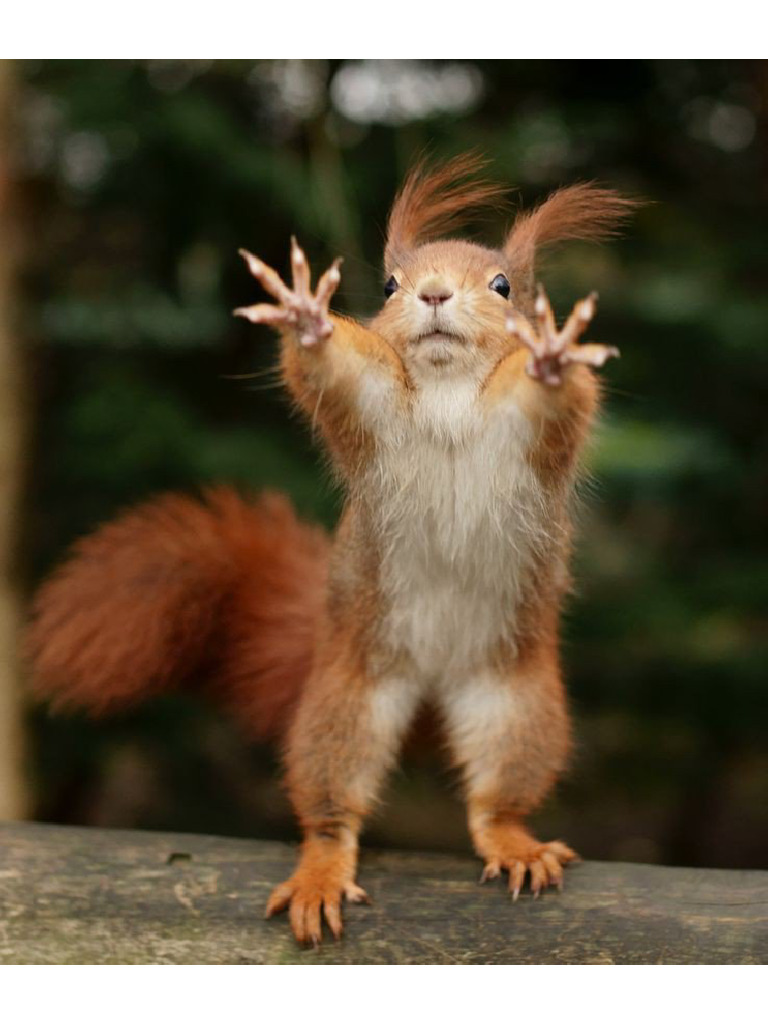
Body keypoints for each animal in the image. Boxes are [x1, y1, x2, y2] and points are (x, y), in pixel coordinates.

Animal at [26, 153, 638, 946]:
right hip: (346, 701)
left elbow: (559, 400)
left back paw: (514, 842)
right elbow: (338, 372)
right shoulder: (375, 407)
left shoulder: (531, 436)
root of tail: (433, 681)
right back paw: (321, 869)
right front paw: (308, 320)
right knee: (330, 806)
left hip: (517, 703)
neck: (447, 388)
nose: (433, 294)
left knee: (496, 799)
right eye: (390, 285)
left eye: (504, 286)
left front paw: (554, 358)